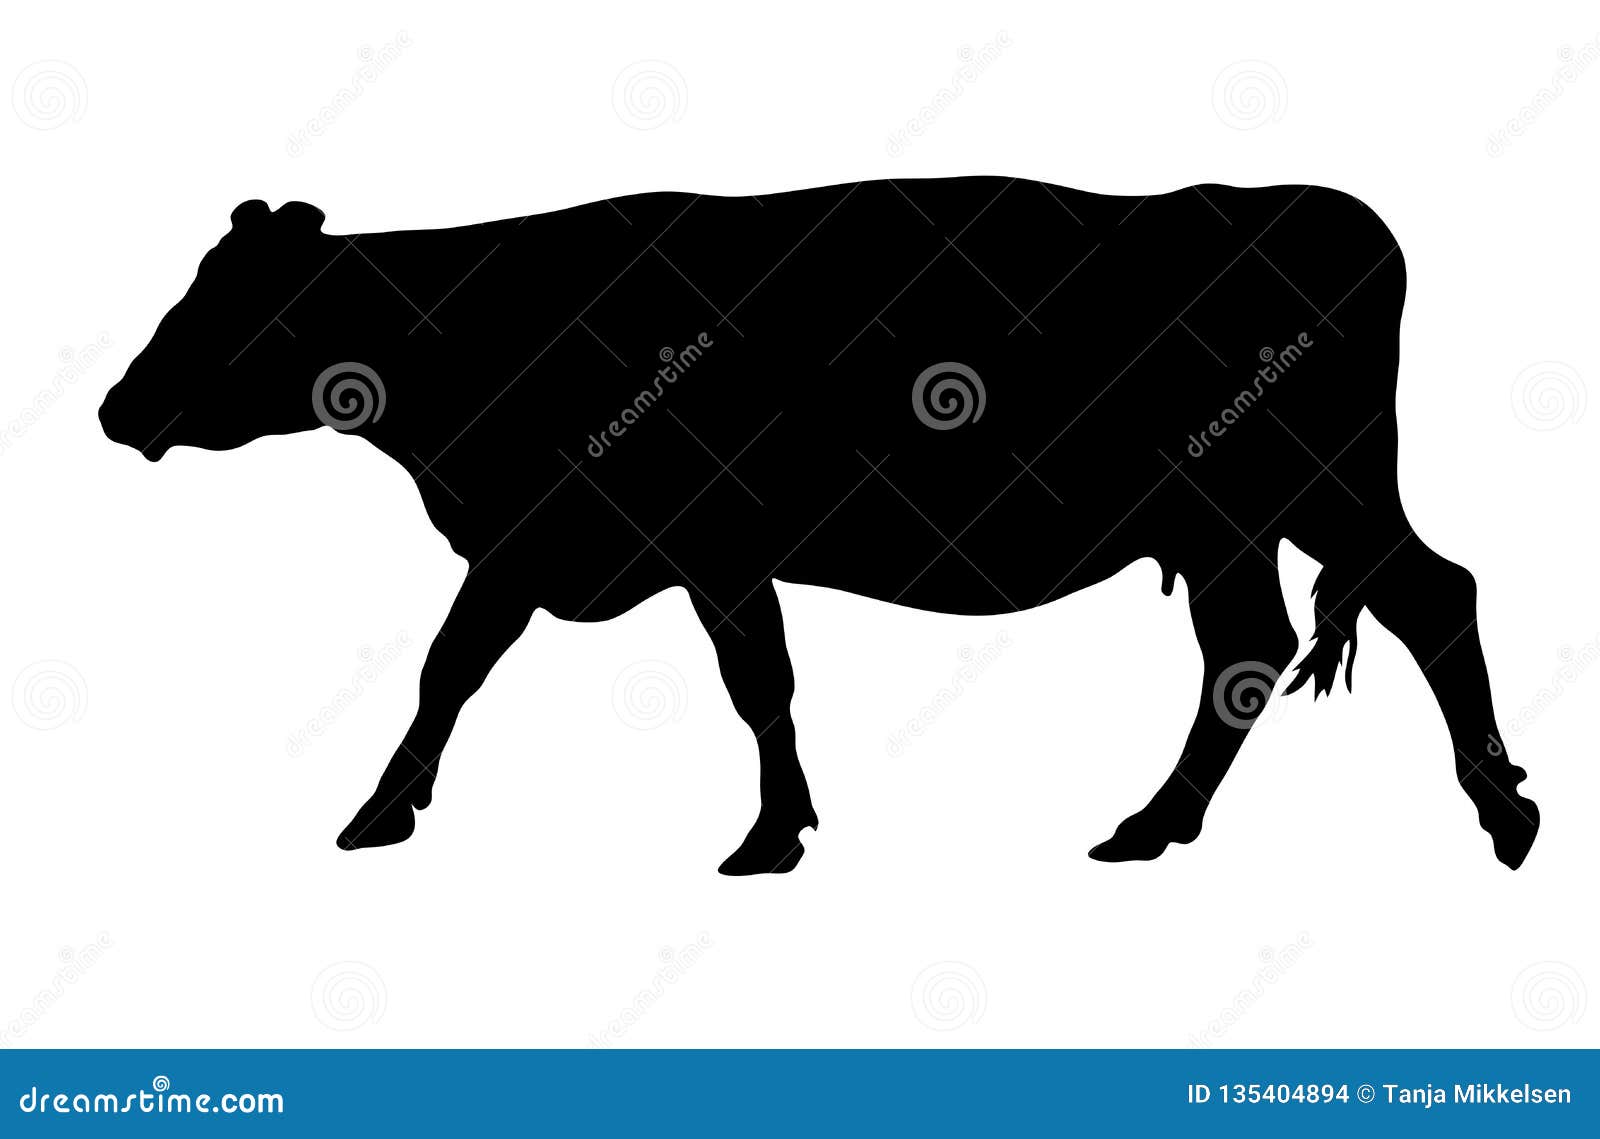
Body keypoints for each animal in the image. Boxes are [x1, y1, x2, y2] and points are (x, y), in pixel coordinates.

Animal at [99, 178, 1539, 872]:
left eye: (242, 301)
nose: (120, 406)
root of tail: (1323, 209)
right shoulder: (527, 538)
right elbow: (450, 668)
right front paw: (381, 809)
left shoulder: (713, 544)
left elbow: (759, 683)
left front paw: (770, 833)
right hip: (1244, 515)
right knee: (1290, 633)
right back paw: (1173, 821)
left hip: (1310, 487)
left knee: (1415, 598)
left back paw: (1489, 809)